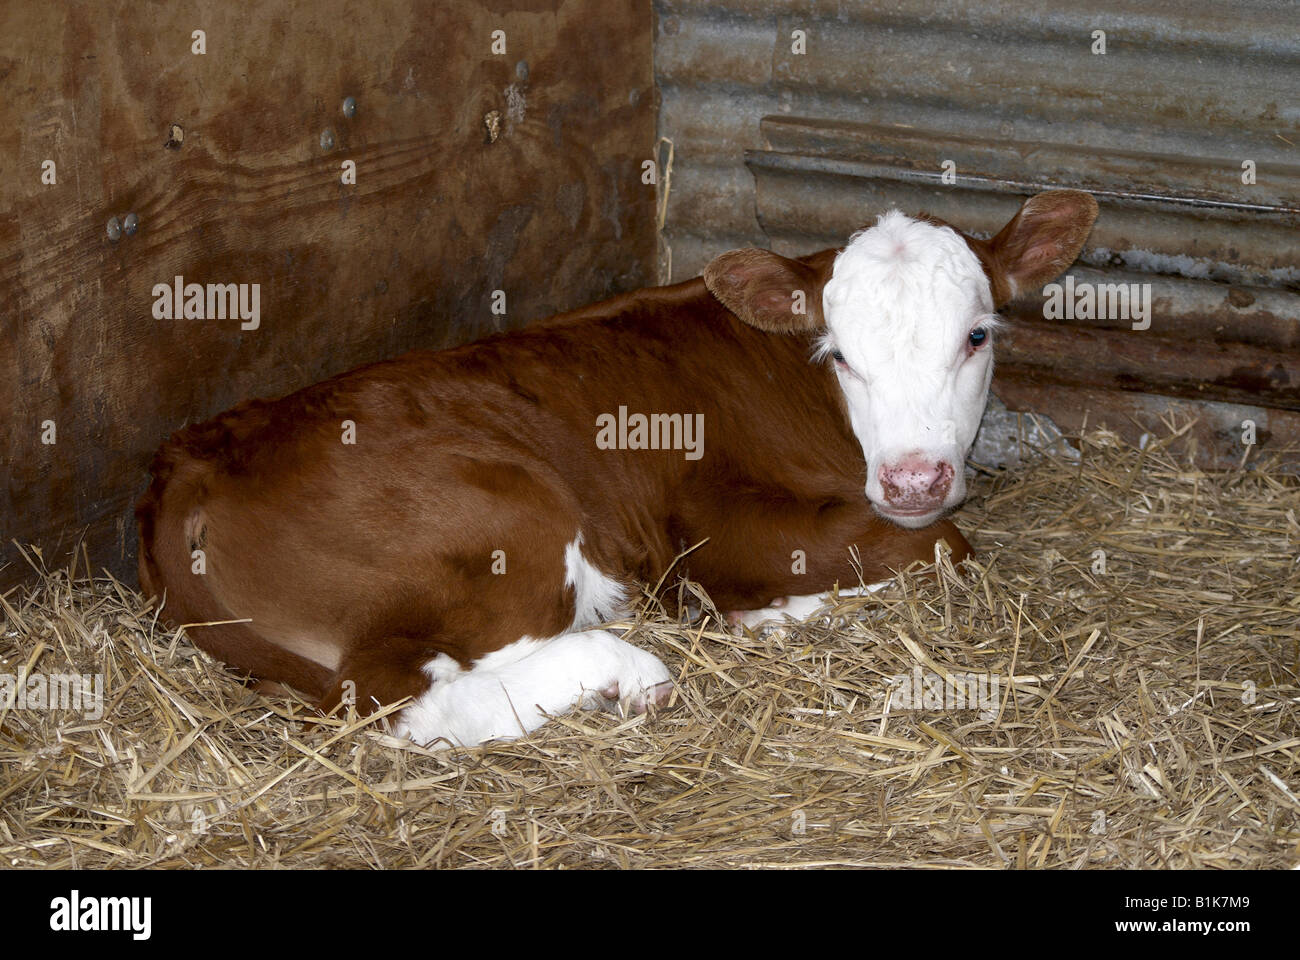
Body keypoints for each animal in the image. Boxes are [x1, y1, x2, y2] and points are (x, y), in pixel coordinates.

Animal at [136, 190, 1098, 746]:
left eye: (977, 336)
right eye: (838, 354)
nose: (913, 479)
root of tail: (193, 460)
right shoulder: (711, 525)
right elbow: (948, 547)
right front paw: (772, 614)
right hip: (508, 519)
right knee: (392, 699)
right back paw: (624, 672)